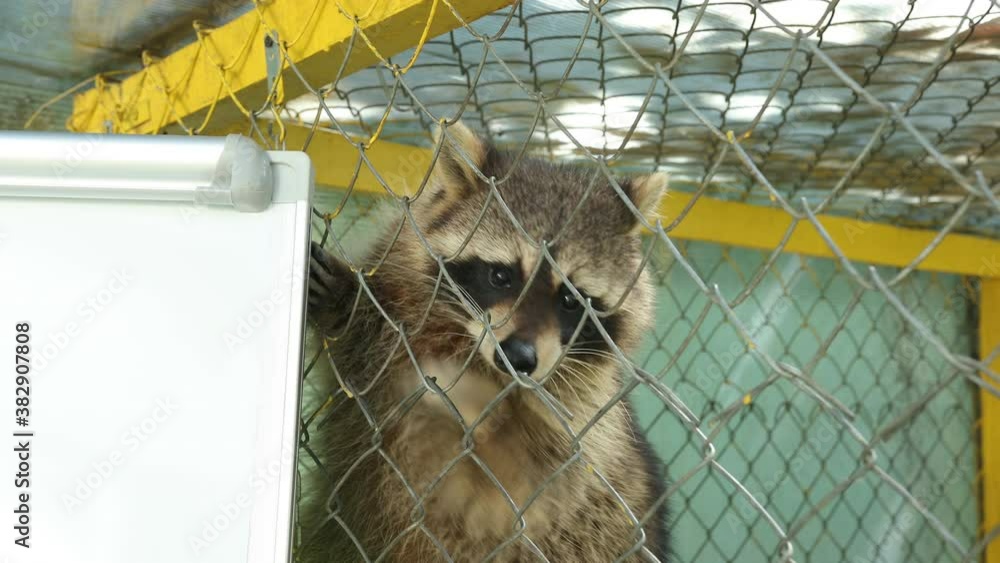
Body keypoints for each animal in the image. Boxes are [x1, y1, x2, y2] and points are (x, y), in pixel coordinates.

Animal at [301, 121, 671, 563]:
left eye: (570, 300)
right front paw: (348, 303)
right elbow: (364, 361)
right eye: (500, 276)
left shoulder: (579, 418)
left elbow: (509, 476)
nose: (518, 357)